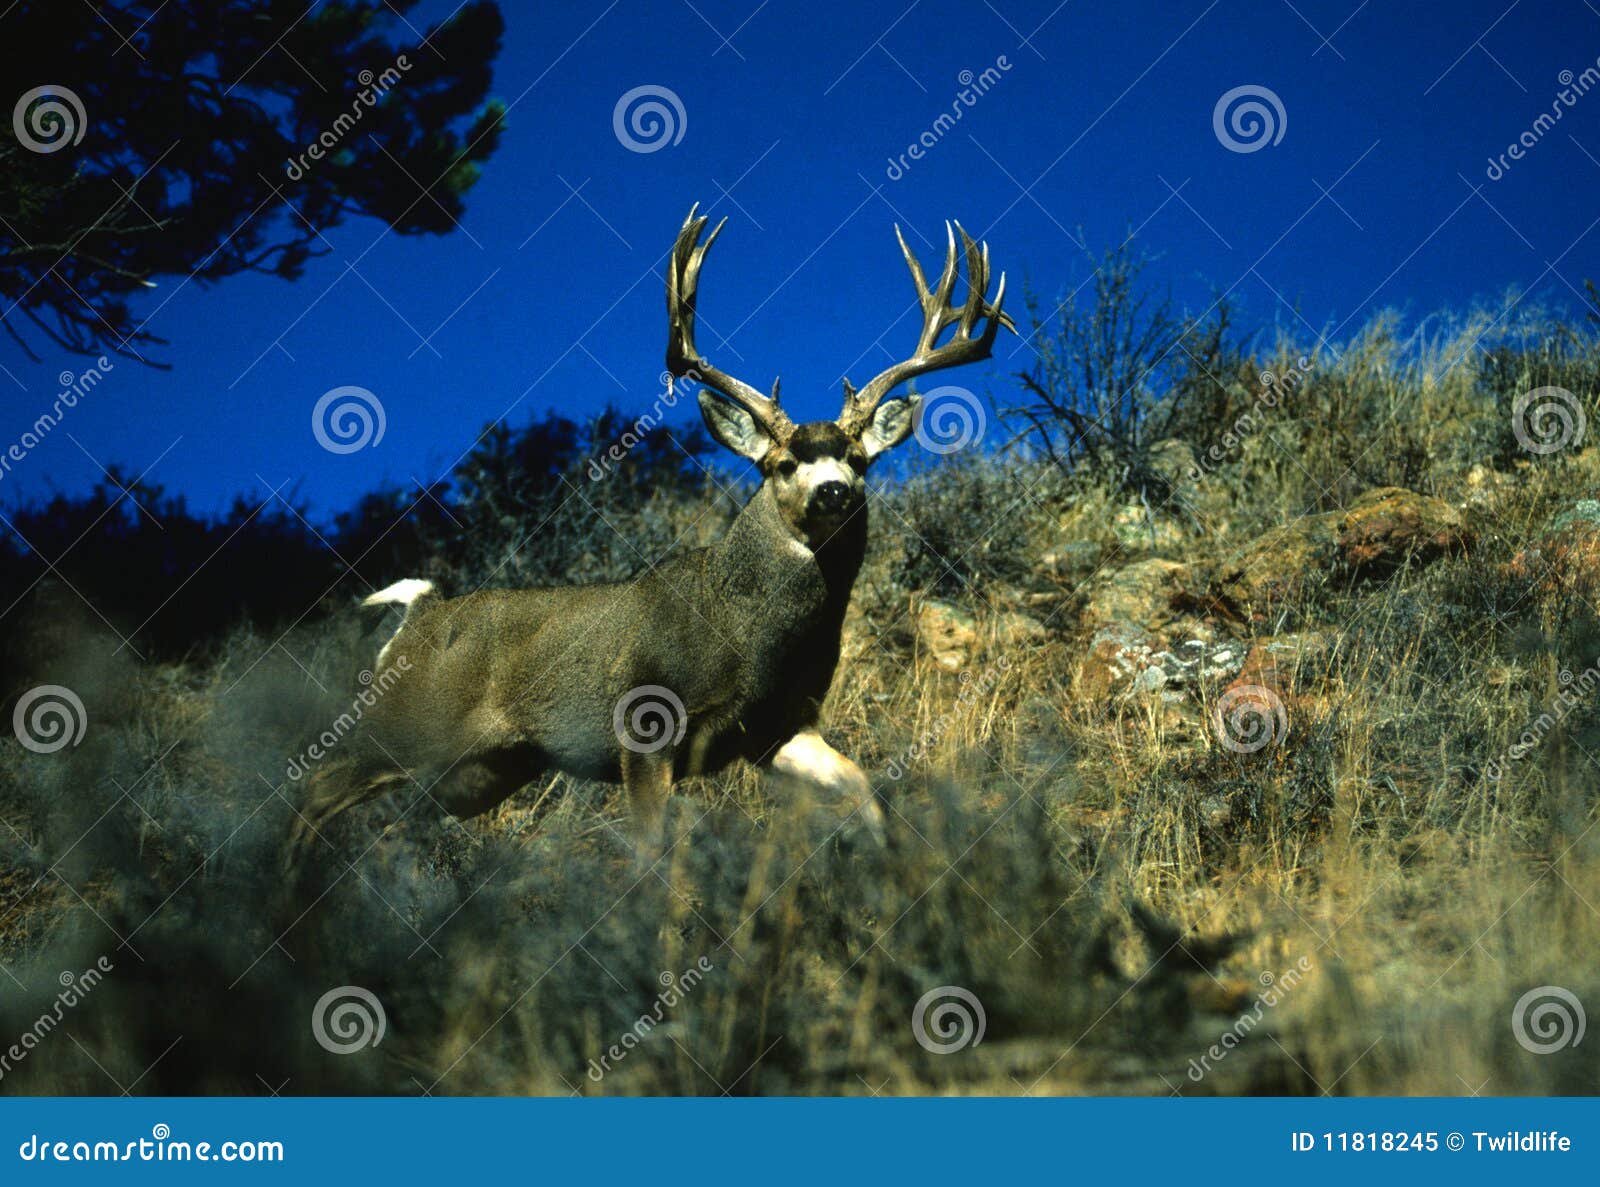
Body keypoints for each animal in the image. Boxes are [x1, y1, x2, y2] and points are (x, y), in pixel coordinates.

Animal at [284, 205, 1013, 881]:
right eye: (780, 464)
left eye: (860, 459)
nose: (835, 491)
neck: (742, 630)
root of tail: (419, 612)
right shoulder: (645, 723)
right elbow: (651, 856)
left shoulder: (779, 728)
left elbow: (865, 790)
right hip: (407, 728)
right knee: (312, 789)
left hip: (480, 770)